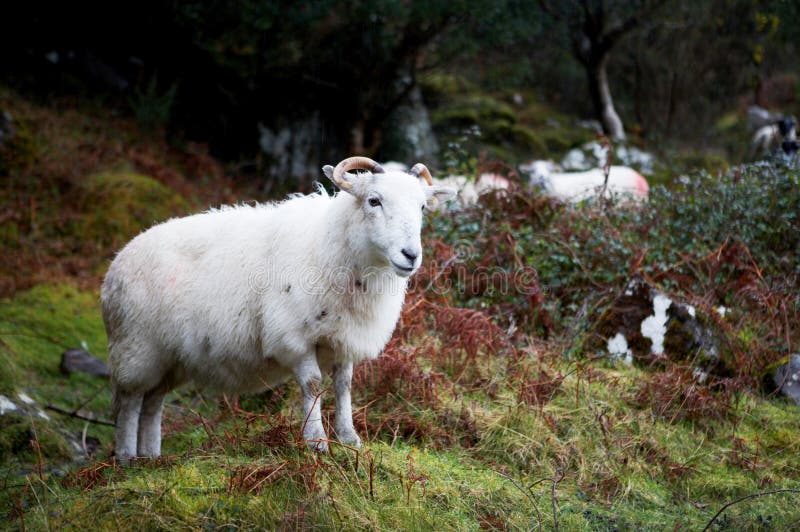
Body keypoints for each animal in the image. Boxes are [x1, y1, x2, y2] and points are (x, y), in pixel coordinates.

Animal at [101, 156, 455, 461]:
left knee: (153, 402)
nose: (411, 255)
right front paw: (316, 442)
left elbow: (343, 386)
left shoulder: (343, 337)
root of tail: (117, 261)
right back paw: (127, 458)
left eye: (422, 206)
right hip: (136, 347)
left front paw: (349, 438)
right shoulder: (295, 336)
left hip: (168, 358)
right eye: (374, 201)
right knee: (131, 402)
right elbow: (312, 384)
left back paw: (151, 458)